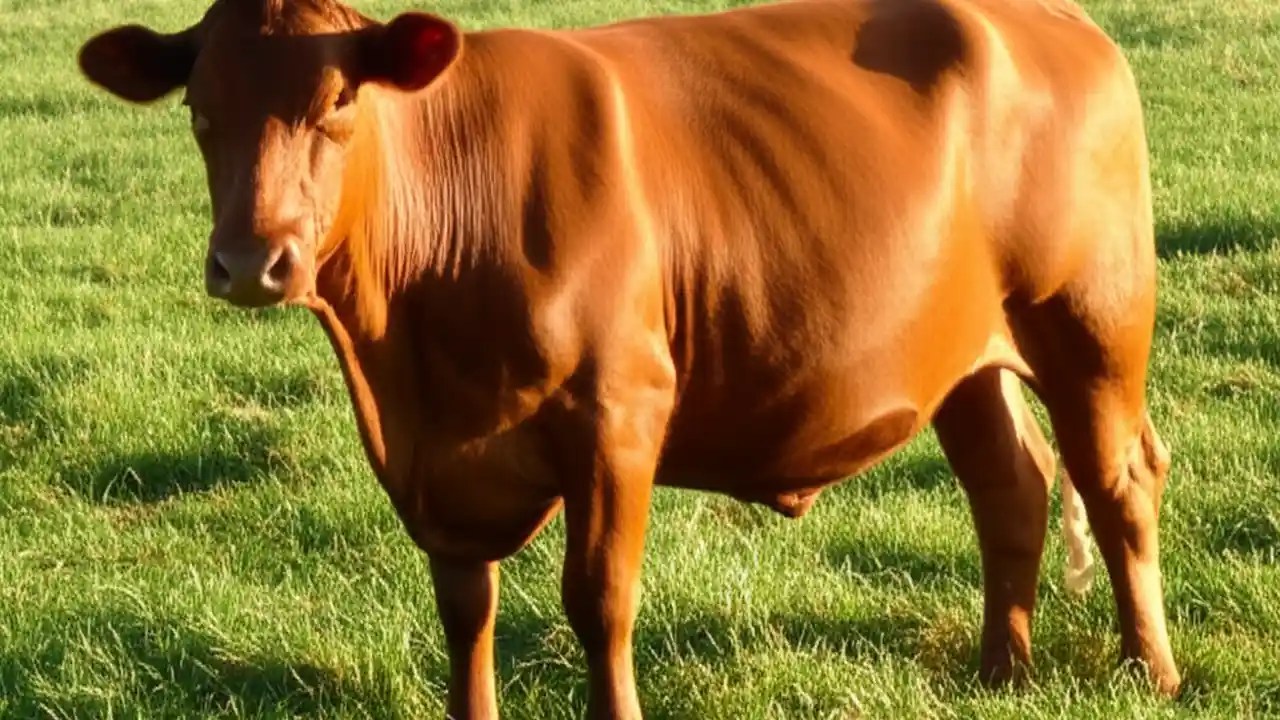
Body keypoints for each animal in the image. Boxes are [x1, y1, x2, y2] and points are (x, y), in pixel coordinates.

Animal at [77, 0, 1178, 715]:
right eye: (198, 108)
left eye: (340, 98)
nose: (251, 262)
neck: (409, 359)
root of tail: (1055, 20)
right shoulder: (437, 464)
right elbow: (463, 610)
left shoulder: (617, 416)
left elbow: (598, 601)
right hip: (961, 352)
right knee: (1009, 484)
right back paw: (1002, 672)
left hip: (1088, 320)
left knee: (1116, 479)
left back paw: (1148, 672)